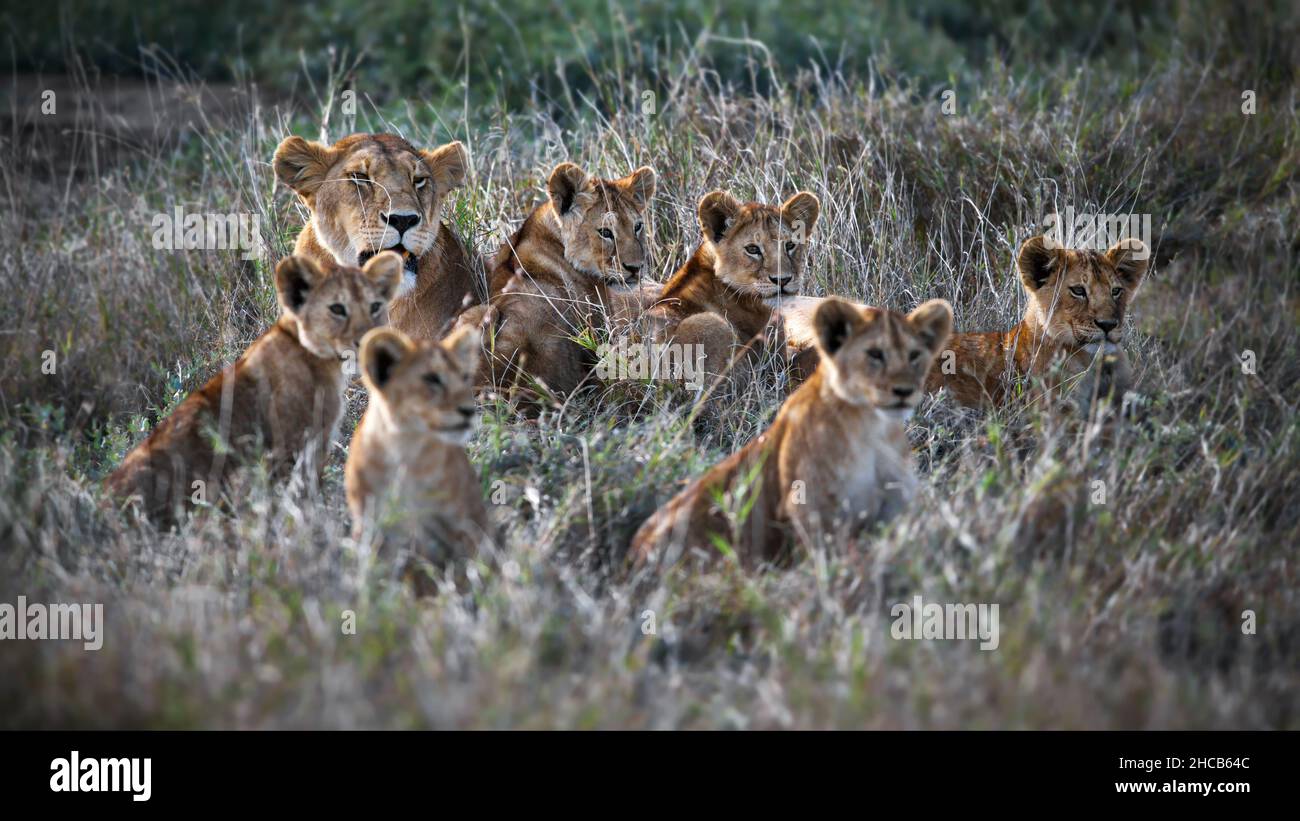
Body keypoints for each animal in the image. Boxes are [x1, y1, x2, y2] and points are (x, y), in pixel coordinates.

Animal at [346, 325, 489, 592]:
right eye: (432, 379)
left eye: (465, 377)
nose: (468, 410)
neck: (406, 446)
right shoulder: (374, 525)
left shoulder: (455, 524)